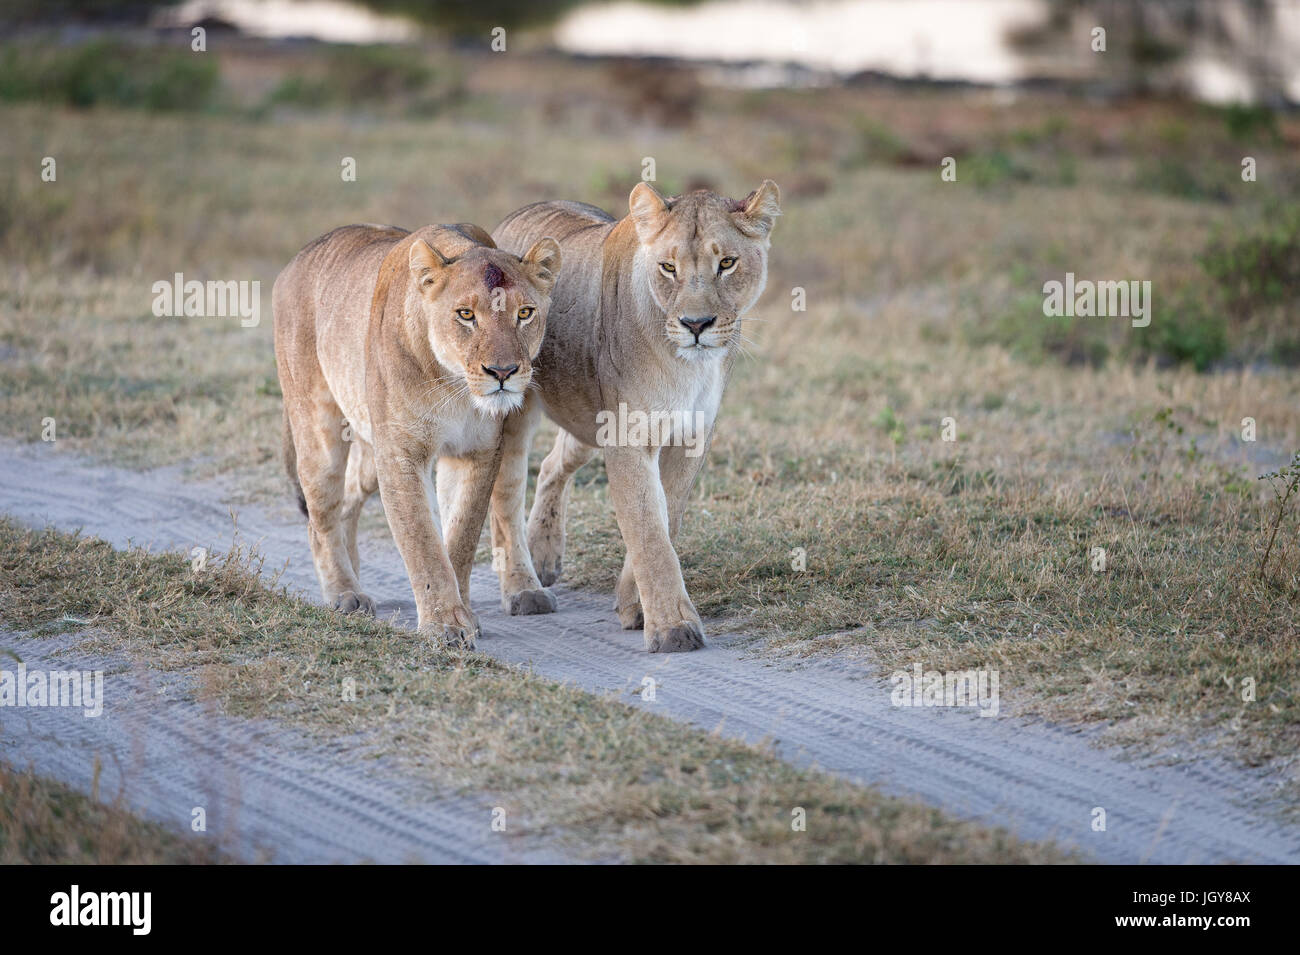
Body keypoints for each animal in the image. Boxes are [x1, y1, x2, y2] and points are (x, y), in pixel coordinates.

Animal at [273, 222, 561, 648]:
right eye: (465, 315)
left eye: (525, 313)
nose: (503, 372)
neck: (453, 386)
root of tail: (297, 258)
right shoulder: (401, 453)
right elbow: (423, 541)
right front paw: (444, 625)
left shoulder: (478, 450)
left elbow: (460, 536)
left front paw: (464, 614)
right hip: (318, 428)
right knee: (320, 515)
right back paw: (345, 593)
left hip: (370, 450)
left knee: (349, 498)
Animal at [486, 181, 781, 652]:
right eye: (668, 267)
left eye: (727, 263)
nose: (696, 324)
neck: (688, 366)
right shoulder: (628, 436)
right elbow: (647, 530)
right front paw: (673, 628)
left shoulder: (691, 436)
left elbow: (667, 518)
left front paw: (635, 604)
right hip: (513, 411)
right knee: (506, 497)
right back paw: (523, 589)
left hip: (586, 418)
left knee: (553, 464)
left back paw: (545, 553)